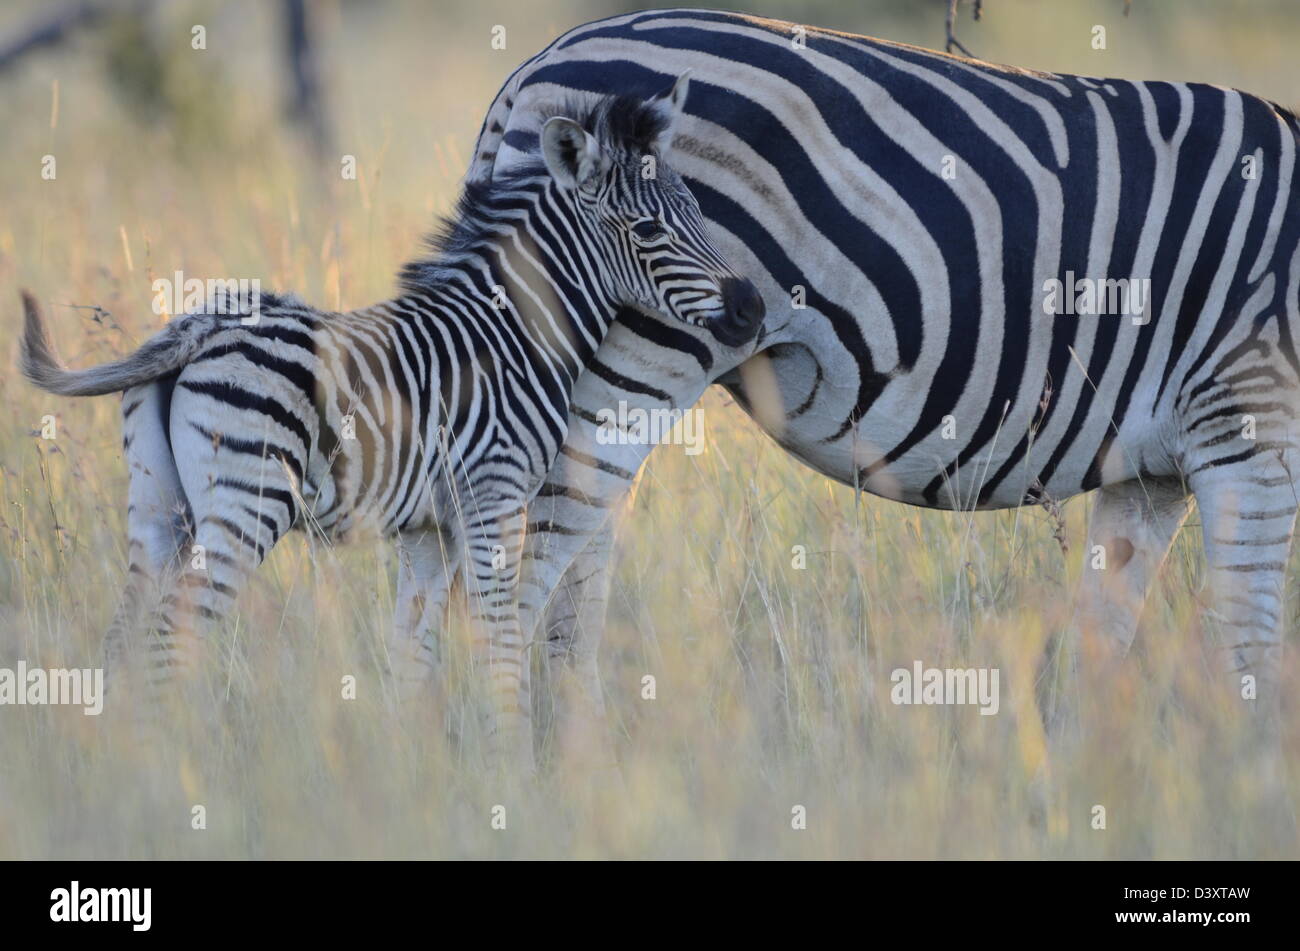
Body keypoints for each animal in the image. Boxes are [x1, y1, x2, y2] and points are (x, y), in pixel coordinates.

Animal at [19, 77, 766, 763]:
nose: (751, 308)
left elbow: (414, 650)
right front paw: (512, 770)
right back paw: (176, 766)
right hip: (246, 503)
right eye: (648, 230)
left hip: (158, 508)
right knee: (174, 636)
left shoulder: (429, 529)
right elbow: (498, 636)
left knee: (124, 634)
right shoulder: (493, 497)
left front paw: (418, 771)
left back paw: (127, 766)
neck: (515, 333)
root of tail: (199, 329)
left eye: (698, 211)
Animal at [470, 9, 1300, 767]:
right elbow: (1251, 654)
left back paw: (584, 763)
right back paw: (517, 770)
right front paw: (1250, 783)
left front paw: (1083, 784)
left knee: (573, 571)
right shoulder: (1251, 426)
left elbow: (1104, 642)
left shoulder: (1152, 473)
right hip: (639, 348)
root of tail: (537, 63)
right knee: (524, 573)